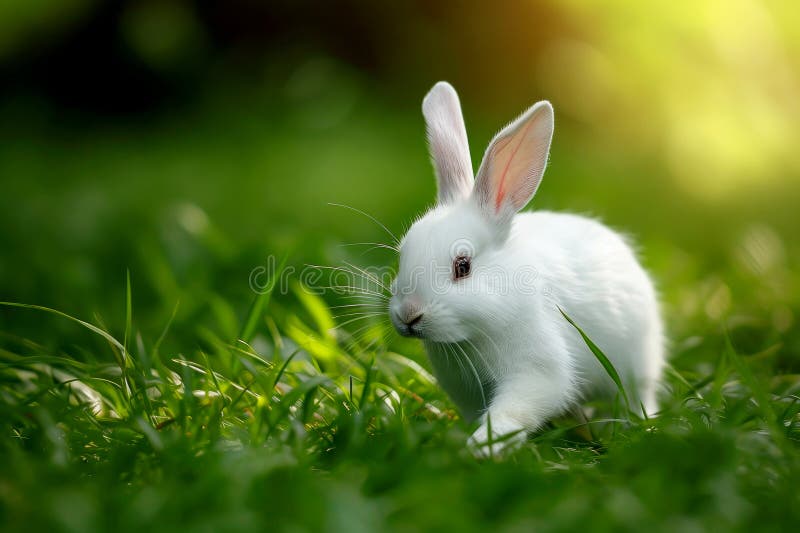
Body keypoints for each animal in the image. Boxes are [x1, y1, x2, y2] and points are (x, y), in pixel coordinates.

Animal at [388, 81, 665, 454]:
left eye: (463, 266)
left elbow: (515, 410)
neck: (473, 335)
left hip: (637, 365)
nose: (408, 315)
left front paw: (483, 447)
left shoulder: (537, 371)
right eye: (401, 255)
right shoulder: (467, 392)